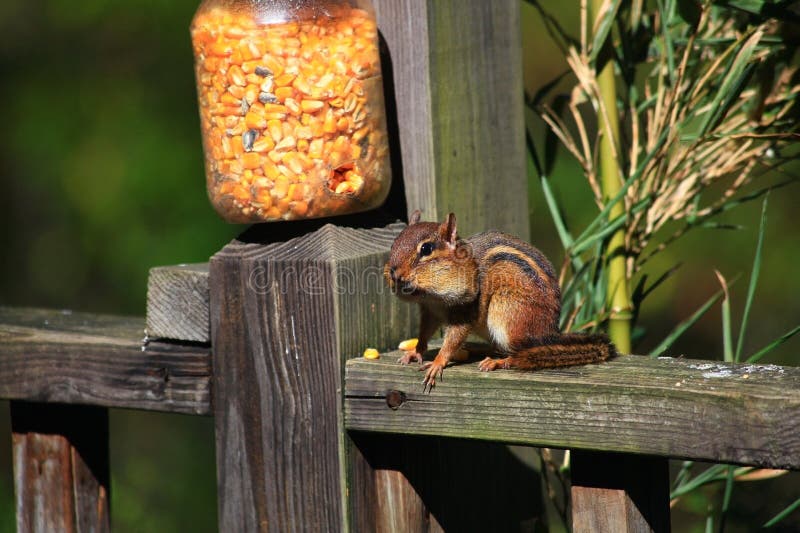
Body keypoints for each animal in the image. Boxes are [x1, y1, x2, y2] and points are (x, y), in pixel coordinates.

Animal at [384, 210, 615, 390]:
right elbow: (424, 333)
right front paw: (415, 352)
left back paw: (498, 362)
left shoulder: (464, 309)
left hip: (507, 315)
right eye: (395, 243)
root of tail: (549, 334)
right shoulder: (430, 311)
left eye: (426, 249)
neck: (433, 296)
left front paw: (438, 362)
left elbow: (453, 339)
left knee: (518, 355)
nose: (393, 273)